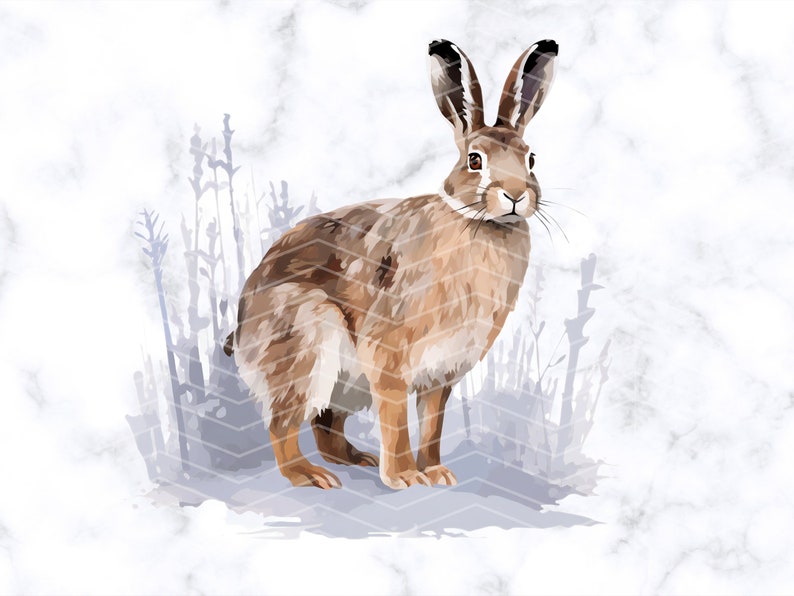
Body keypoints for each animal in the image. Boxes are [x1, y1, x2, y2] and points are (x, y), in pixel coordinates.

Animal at [224, 39, 558, 489]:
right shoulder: (390, 356)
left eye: (532, 159)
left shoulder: (442, 374)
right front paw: (405, 477)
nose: (515, 195)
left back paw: (355, 459)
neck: (480, 224)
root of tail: (241, 329)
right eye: (475, 160)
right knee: (283, 424)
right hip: (306, 342)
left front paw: (437, 472)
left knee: (325, 425)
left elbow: (432, 424)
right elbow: (397, 419)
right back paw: (309, 475)